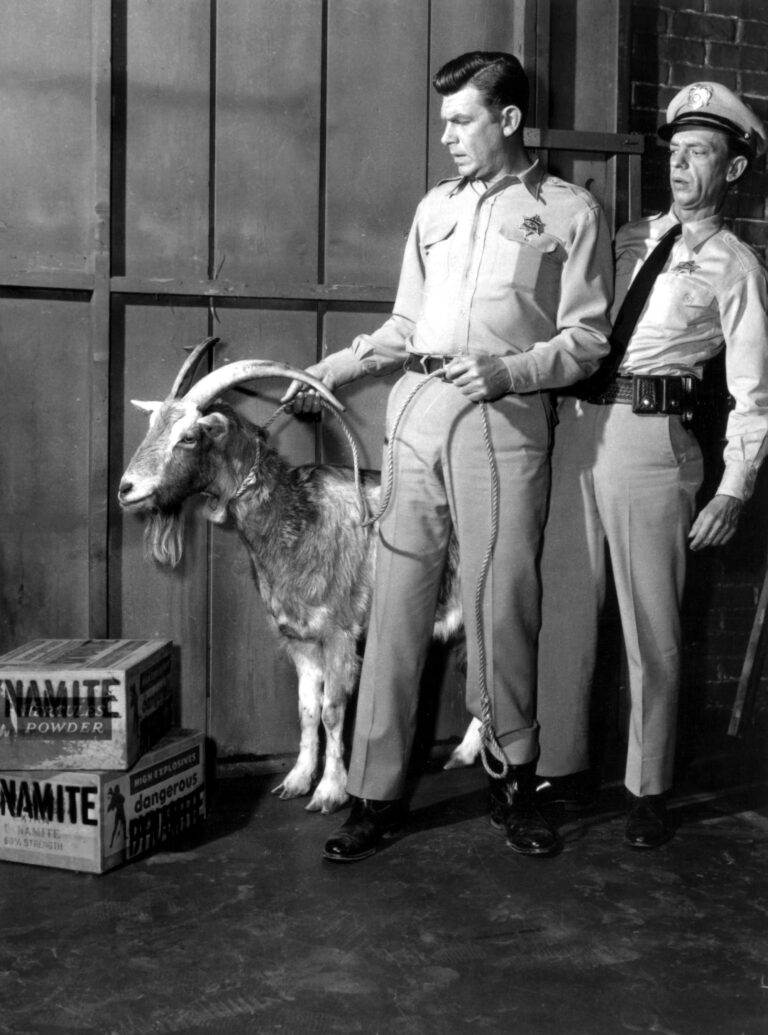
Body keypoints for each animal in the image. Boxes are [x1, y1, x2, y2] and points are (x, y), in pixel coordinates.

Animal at [118, 338, 475, 813]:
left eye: (189, 436)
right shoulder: (300, 640)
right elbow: (306, 712)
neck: (296, 518)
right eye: (152, 425)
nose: (127, 489)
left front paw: (330, 791)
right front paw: (298, 779)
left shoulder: (340, 634)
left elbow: (332, 711)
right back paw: (466, 754)